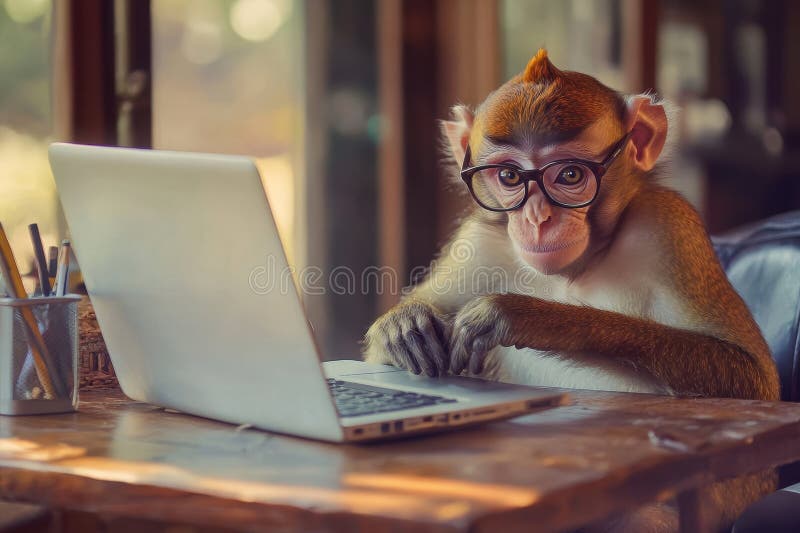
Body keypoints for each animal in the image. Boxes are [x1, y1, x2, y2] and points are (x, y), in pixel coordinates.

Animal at [363, 49, 780, 532]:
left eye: (569, 175)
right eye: (510, 176)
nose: (537, 219)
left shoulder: (669, 227)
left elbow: (751, 375)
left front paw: (526, 315)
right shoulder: (480, 241)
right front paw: (404, 325)